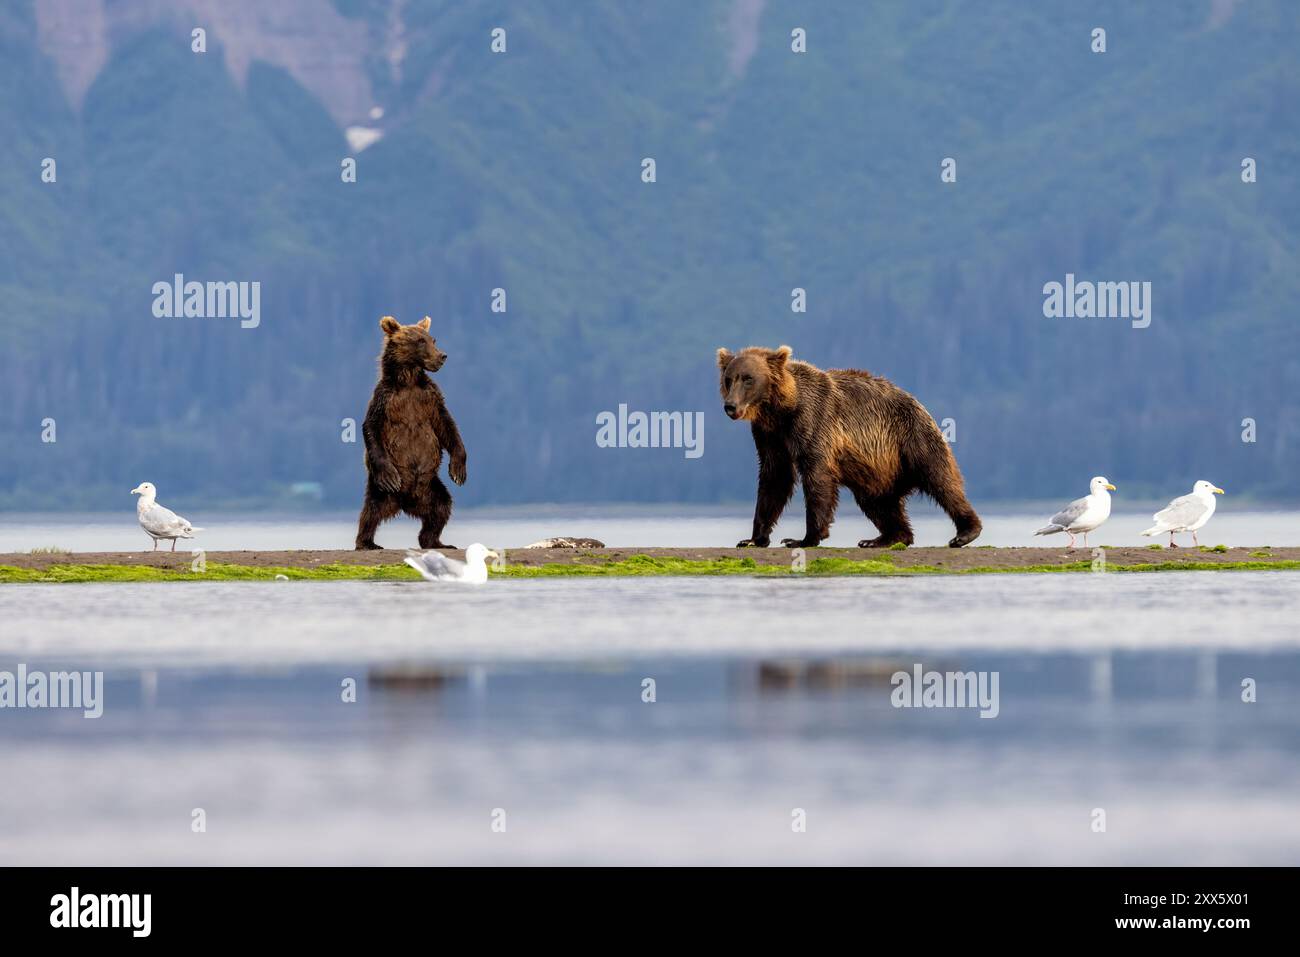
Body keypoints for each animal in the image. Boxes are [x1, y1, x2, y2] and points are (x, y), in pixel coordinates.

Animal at [355, 315, 467, 550]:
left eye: (433, 339)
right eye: (420, 341)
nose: (442, 355)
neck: (409, 381)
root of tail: (406, 503)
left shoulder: (430, 398)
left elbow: (448, 427)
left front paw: (458, 470)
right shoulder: (384, 398)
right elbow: (370, 427)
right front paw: (389, 475)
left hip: (431, 487)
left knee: (441, 508)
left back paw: (437, 542)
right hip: (381, 491)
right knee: (370, 512)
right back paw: (367, 542)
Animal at [717, 345, 981, 549]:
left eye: (748, 379)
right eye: (729, 379)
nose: (730, 406)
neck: (781, 409)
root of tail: (917, 402)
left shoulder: (813, 422)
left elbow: (817, 477)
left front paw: (804, 538)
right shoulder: (769, 435)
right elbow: (774, 477)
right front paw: (753, 539)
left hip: (911, 438)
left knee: (941, 480)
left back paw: (965, 532)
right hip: (876, 470)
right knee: (878, 502)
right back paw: (883, 538)